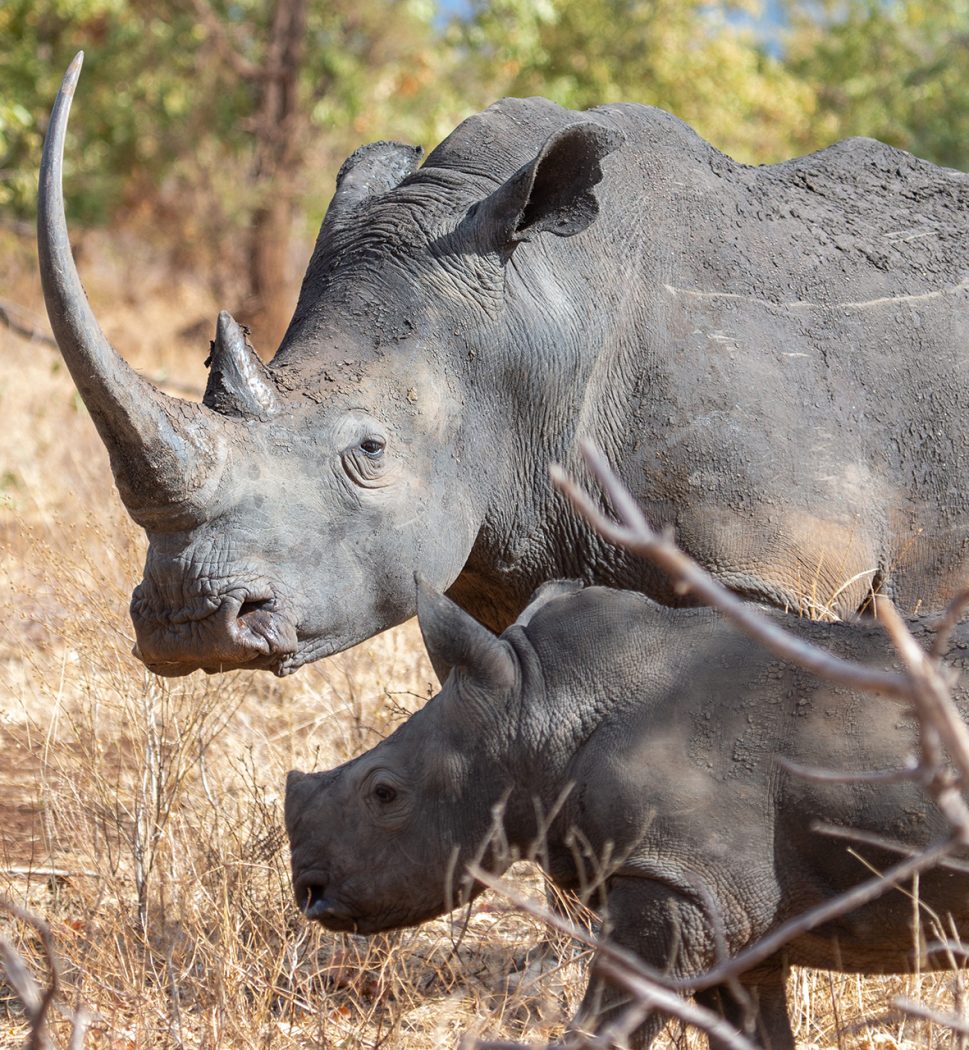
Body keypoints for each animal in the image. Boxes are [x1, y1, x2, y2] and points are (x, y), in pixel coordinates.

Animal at [285, 581, 969, 1049]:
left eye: (385, 794)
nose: (307, 890)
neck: (540, 705)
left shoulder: (677, 881)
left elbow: (604, 1024)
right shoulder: (727, 912)